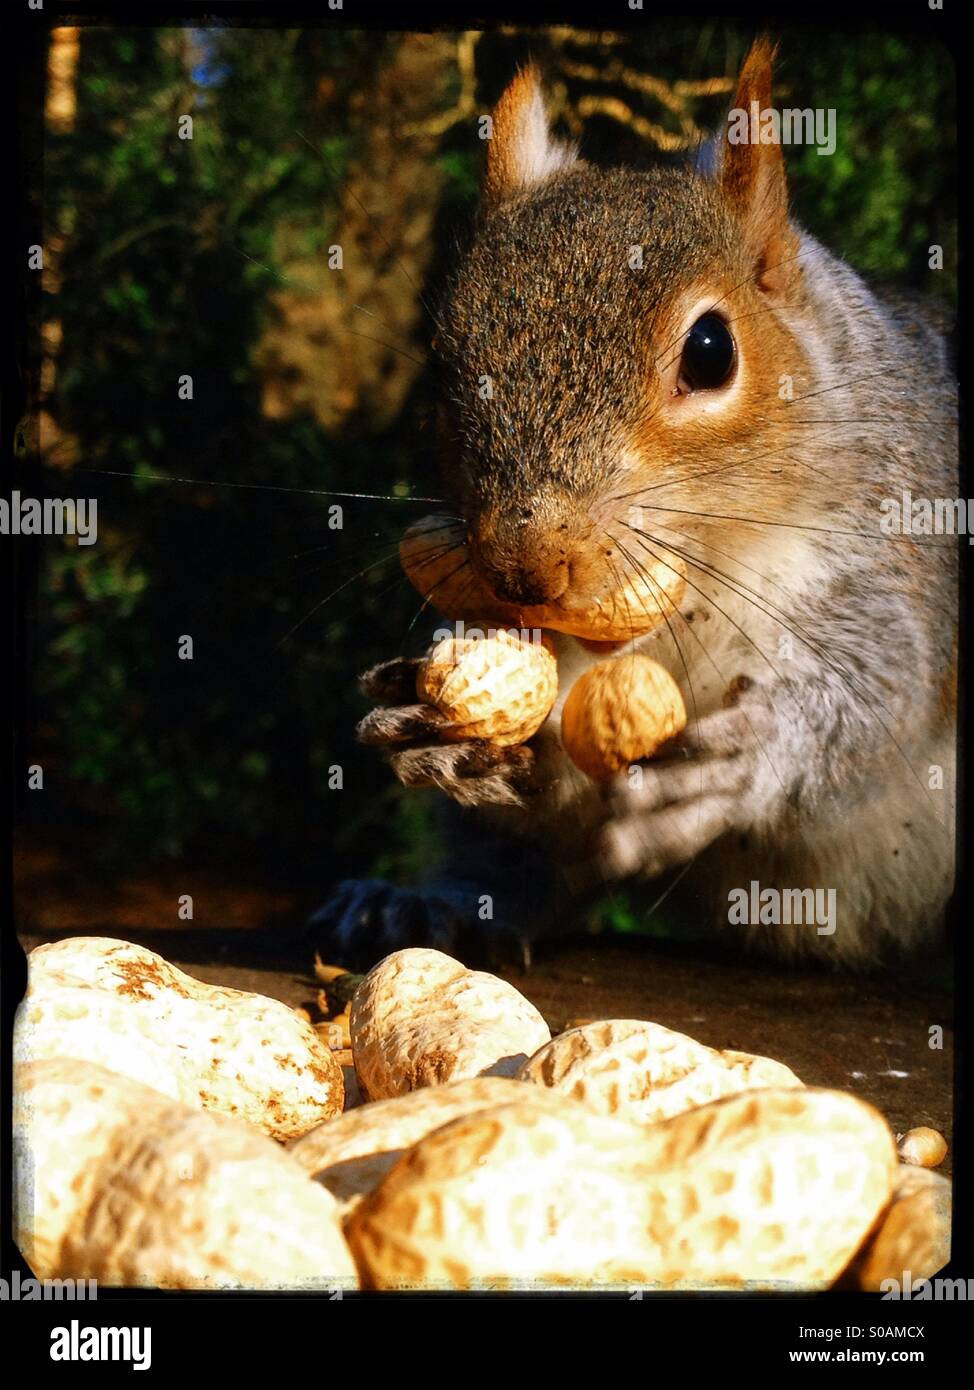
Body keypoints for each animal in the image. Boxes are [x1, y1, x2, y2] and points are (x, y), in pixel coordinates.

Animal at [313, 39, 957, 971]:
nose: (527, 568)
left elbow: (881, 694)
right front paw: (430, 727)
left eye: (712, 350)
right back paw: (421, 904)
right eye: (441, 363)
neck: (700, 581)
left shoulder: (896, 552)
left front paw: (752, 756)